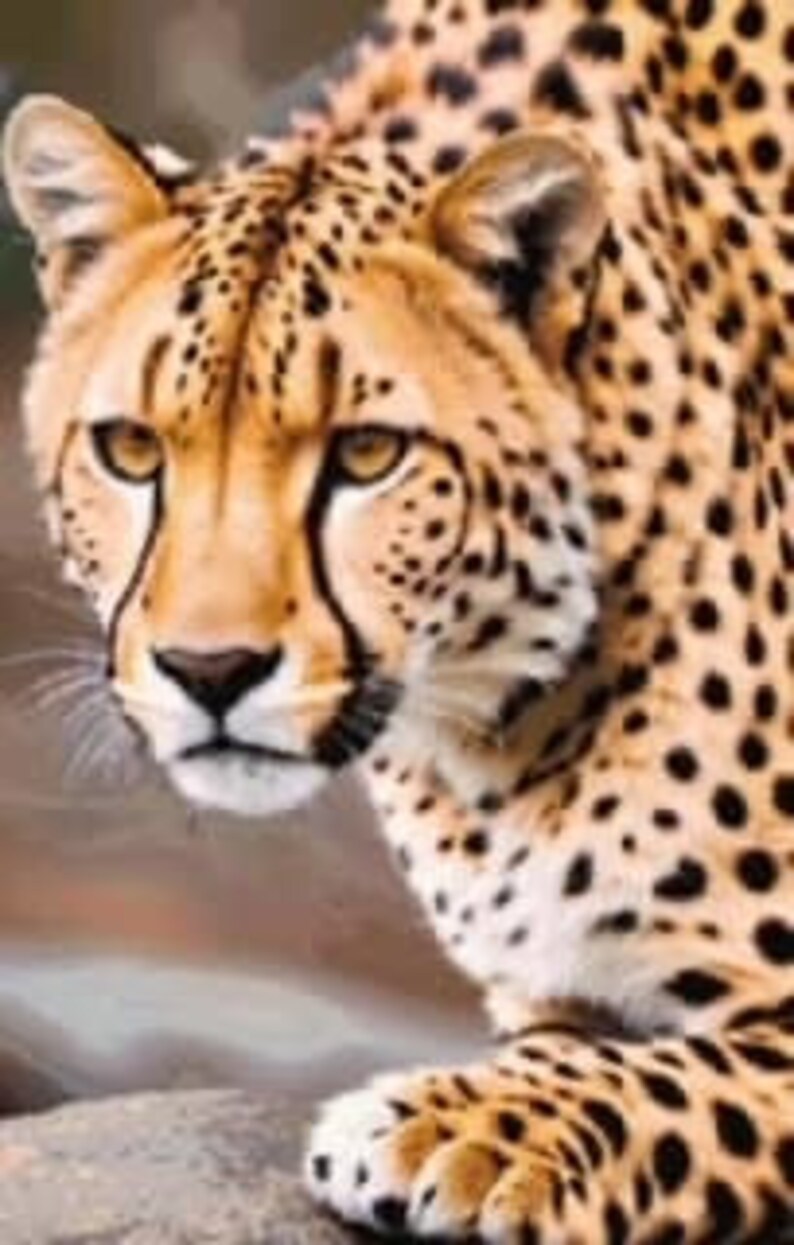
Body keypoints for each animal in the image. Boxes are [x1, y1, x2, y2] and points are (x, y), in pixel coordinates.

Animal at [3, 0, 794, 1240]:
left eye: (367, 454)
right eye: (130, 450)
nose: (209, 670)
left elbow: (677, 1078)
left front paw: (461, 1131)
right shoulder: (554, 988)